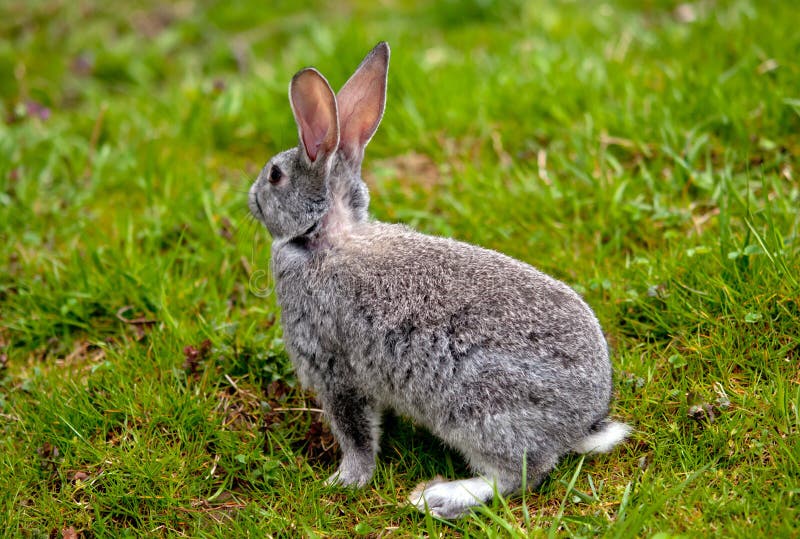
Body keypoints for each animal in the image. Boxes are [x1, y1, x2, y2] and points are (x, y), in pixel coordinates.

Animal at [248, 42, 631, 519]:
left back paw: (439, 497)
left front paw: (345, 480)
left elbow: (356, 433)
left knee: (519, 475)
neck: (326, 238)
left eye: (275, 175)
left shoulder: (333, 366)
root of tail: (582, 422)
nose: (251, 199)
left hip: (478, 409)